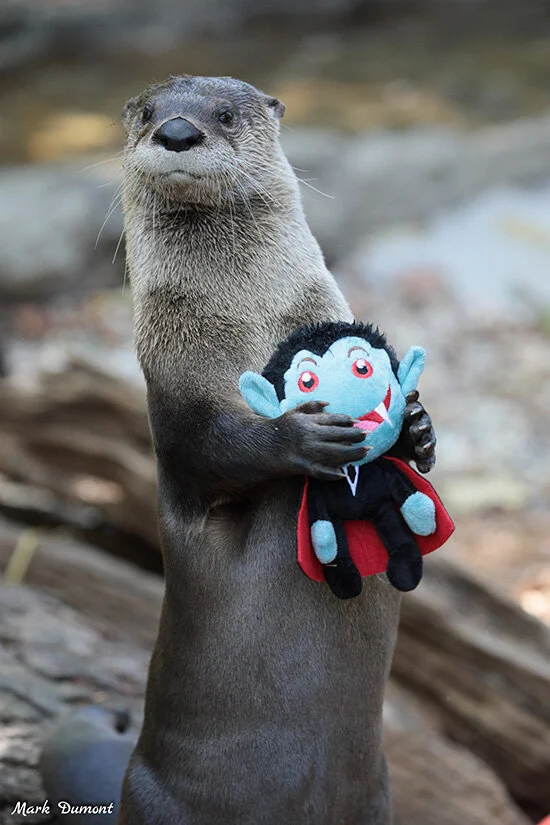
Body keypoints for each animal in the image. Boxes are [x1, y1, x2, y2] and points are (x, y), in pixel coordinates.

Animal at [40, 75, 435, 825]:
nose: (177, 132)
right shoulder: (174, 391)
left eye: (224, 114)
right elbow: (213, 449)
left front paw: (420, 429)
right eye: (147, 112)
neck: (250, 324)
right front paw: (301, 434)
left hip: (377, 793)